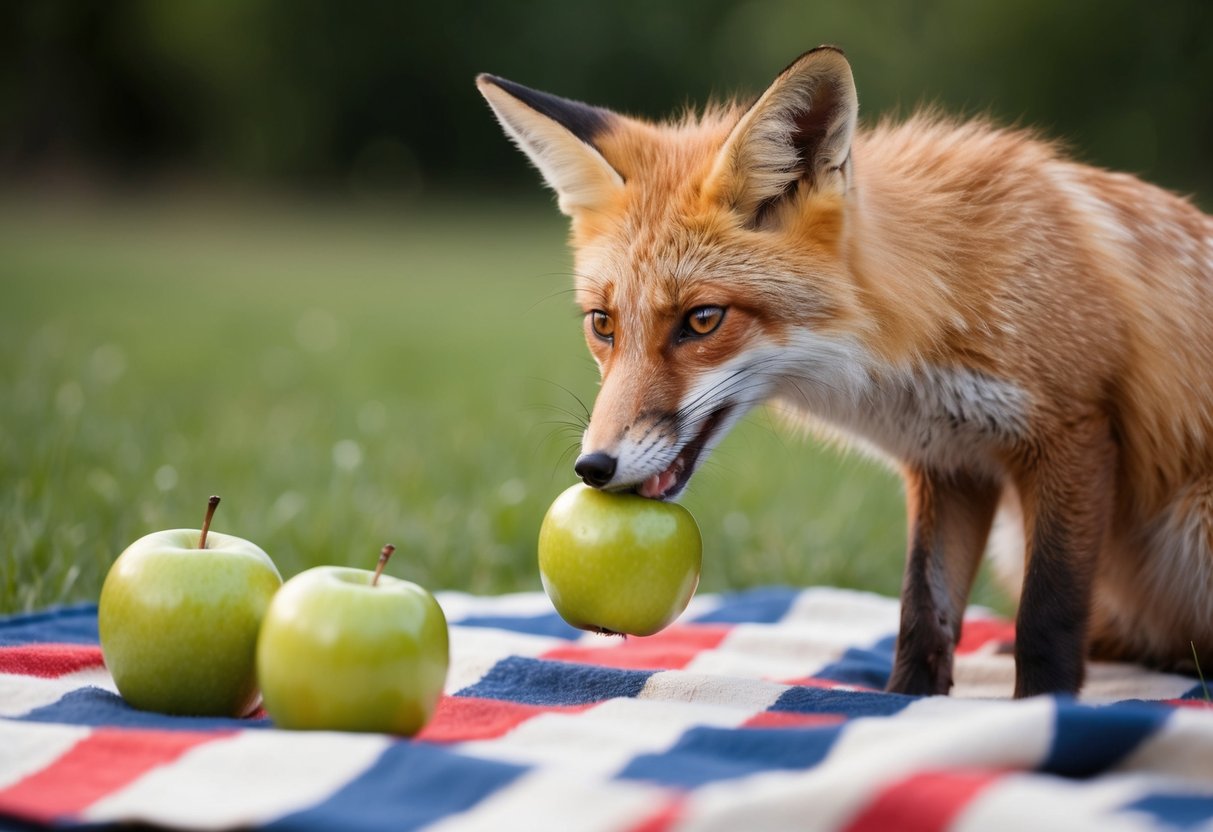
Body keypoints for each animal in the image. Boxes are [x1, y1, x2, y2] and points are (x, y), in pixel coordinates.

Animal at [476, 46, 1213, 698]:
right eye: (603, 324)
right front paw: (904, 706)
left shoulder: (1072, 431)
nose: (593, 467)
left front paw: (1043, 714)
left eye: (702, 320)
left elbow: (1047, 616)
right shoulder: (952, 465)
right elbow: (922, 615)